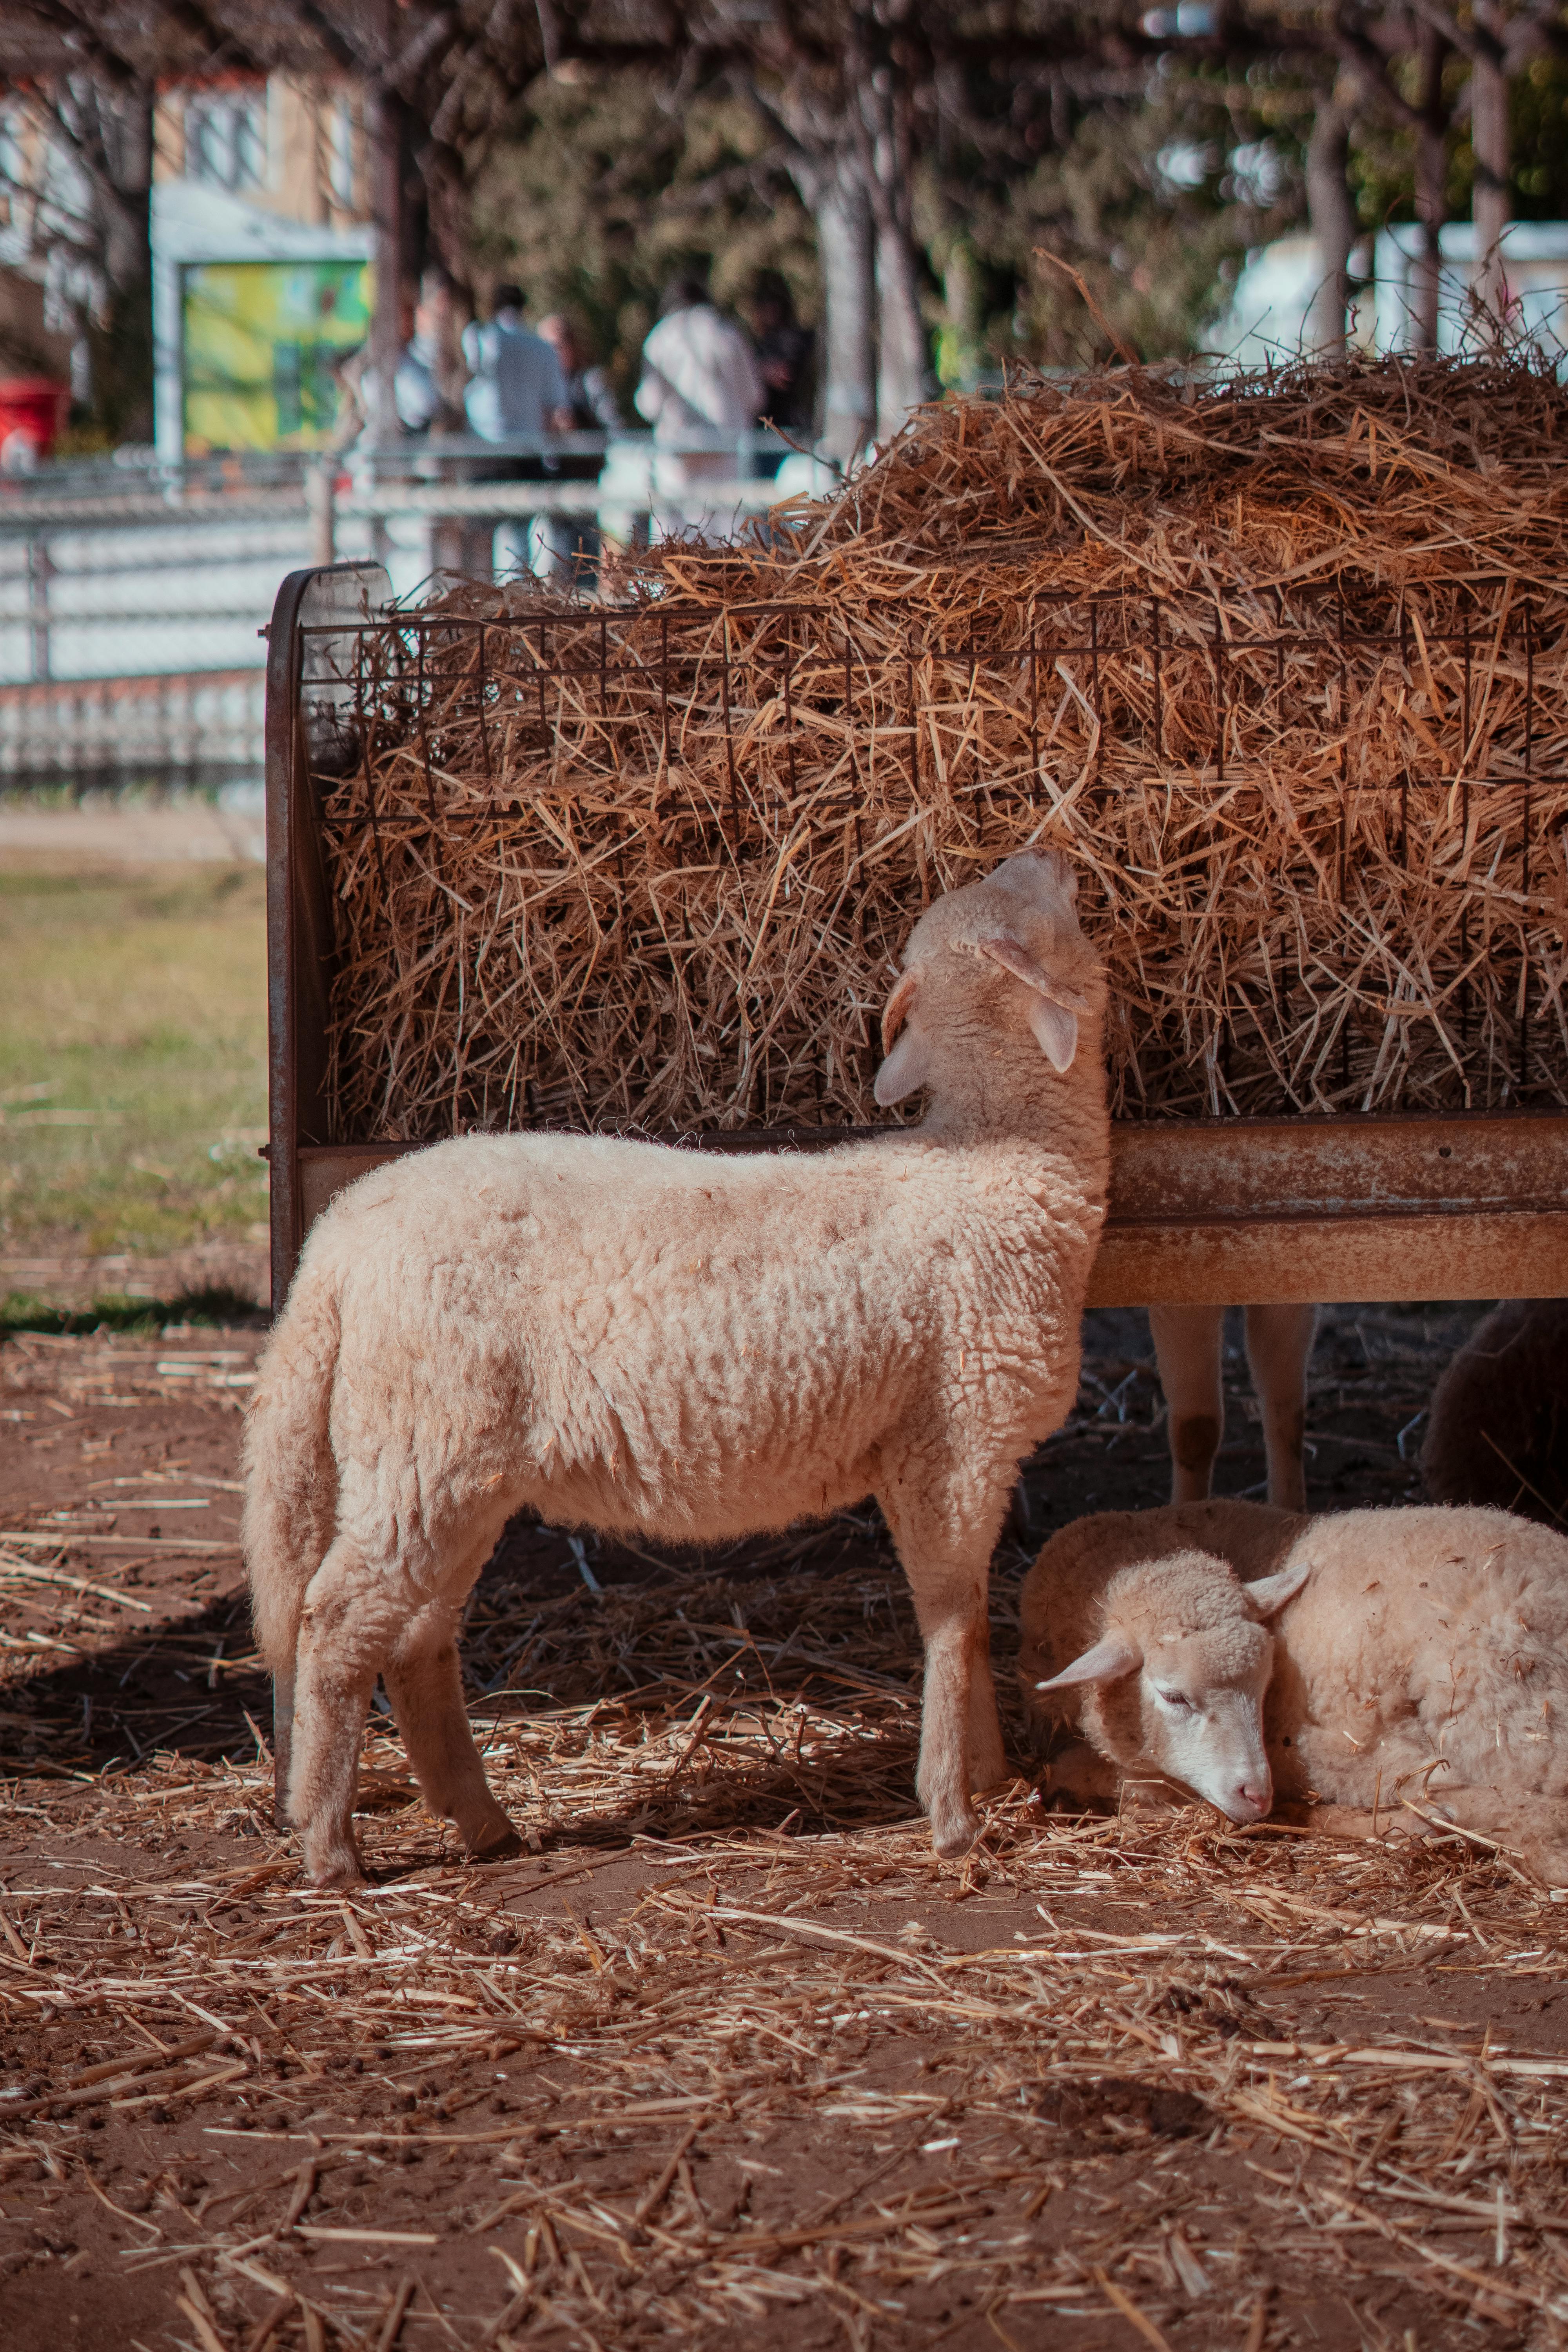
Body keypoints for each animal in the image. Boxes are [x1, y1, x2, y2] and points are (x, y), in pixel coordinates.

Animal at [244, 849, 1110, 1887]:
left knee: (415, 1640)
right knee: (336, 1625)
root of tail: (332, 1252)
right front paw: (952, 1809)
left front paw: (984, 1772)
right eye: (1024, 903)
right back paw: (331, 1848)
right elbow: (955, 1618)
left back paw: (483, 1823)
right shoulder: (957, 1437)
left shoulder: (929, 1448)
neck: (991, 1161)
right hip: (422, 1443)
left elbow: (964, 1620)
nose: (1052, 854)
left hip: (449, 1465)